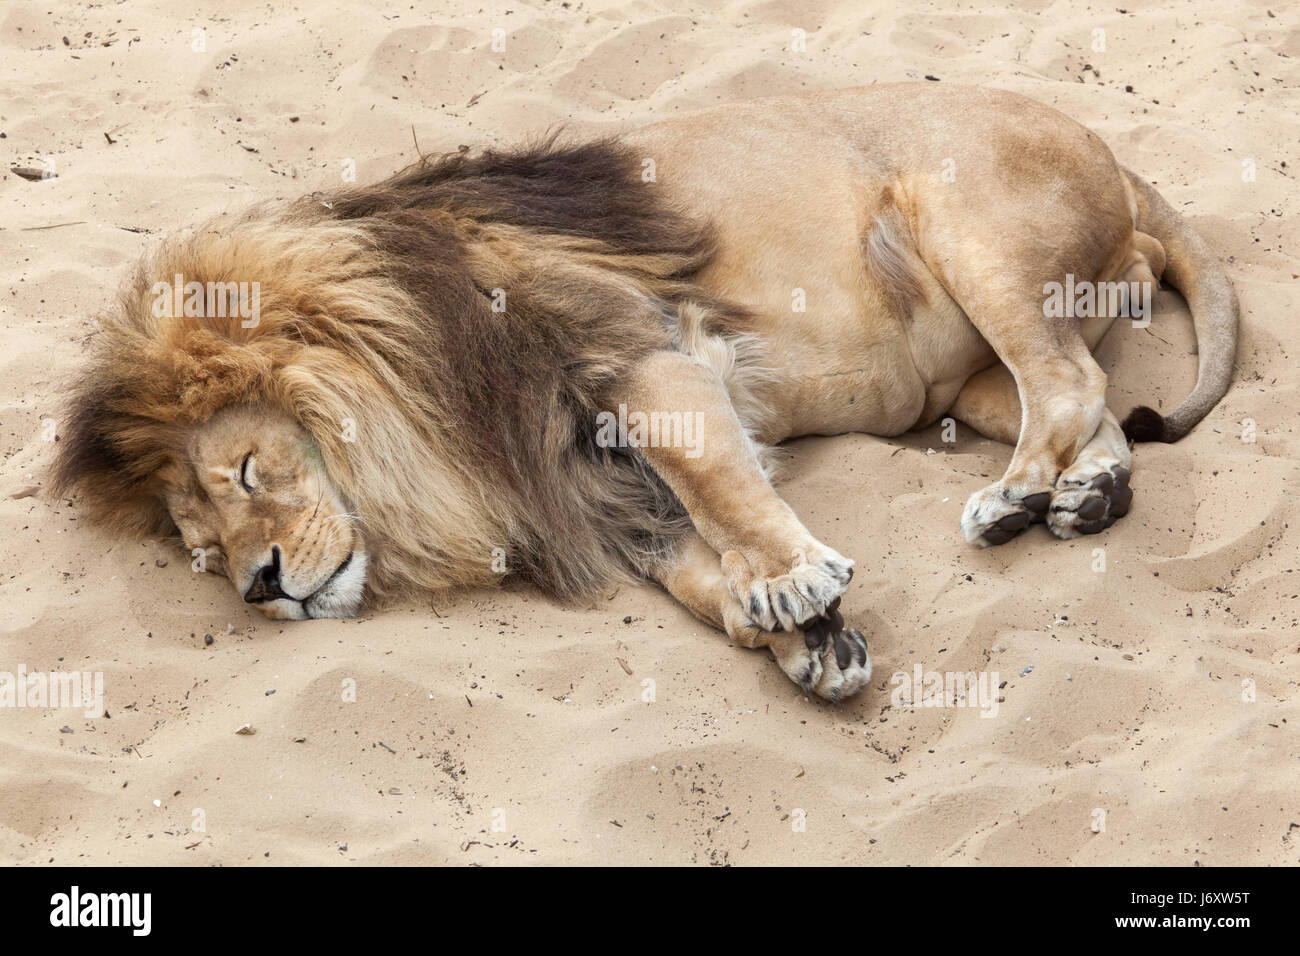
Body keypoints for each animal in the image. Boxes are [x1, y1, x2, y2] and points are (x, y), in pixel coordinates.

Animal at [51, 85, 1237, 702]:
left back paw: (1013, 500)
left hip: (968, 224)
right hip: (968, 385)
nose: (258, 587)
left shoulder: (641, 352)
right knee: (1093, 414)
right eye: (199, 543)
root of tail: (1110, 153)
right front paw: (802, 633)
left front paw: (795, 581)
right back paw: (1081, 496)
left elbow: (716, 478)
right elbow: (695, 574)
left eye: (250, 470)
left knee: (1070, 381)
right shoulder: (594, 488)